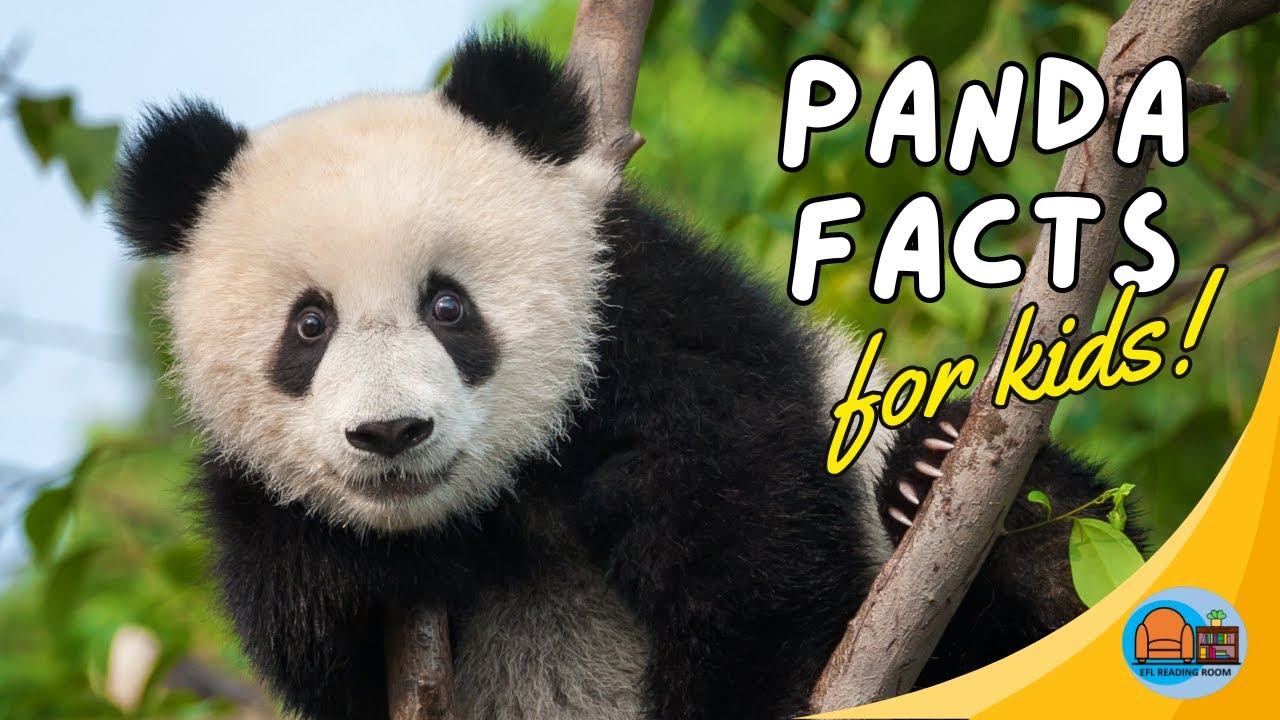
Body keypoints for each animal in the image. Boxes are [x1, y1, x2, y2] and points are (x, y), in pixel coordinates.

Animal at [110, 32, 1141, 720]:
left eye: (449, 306)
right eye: (309, 325)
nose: (392, 434)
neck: (500, 497)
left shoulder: (655, 321)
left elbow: (751, 552)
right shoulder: (252, 495)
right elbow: (304, 624)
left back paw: (965, 494)